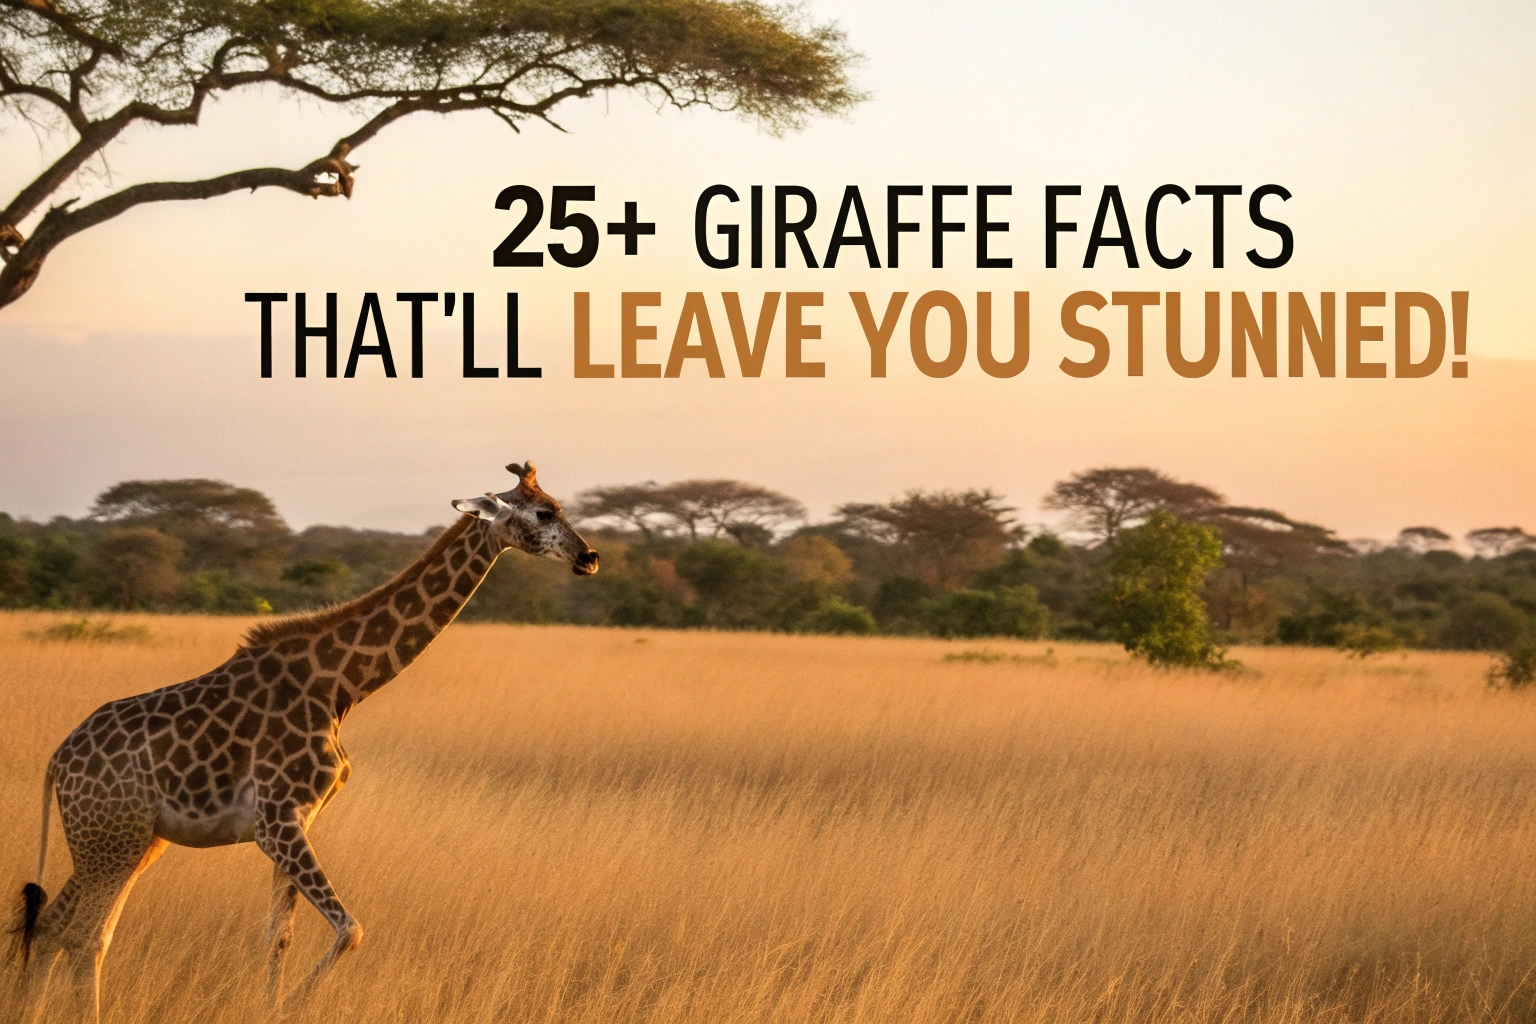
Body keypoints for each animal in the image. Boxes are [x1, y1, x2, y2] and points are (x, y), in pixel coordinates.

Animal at [8, 462, 597, 1023]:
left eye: (558, 505)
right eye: (543, 512)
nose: (589, 558)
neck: (341, 686)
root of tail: (58, 760)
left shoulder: (299, 819)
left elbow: (279, 935)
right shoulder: (277, 821)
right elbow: (350, 929)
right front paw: (287, 1008)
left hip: (130, 841)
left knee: (55, 927)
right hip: (111, 838)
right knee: (83, 936)